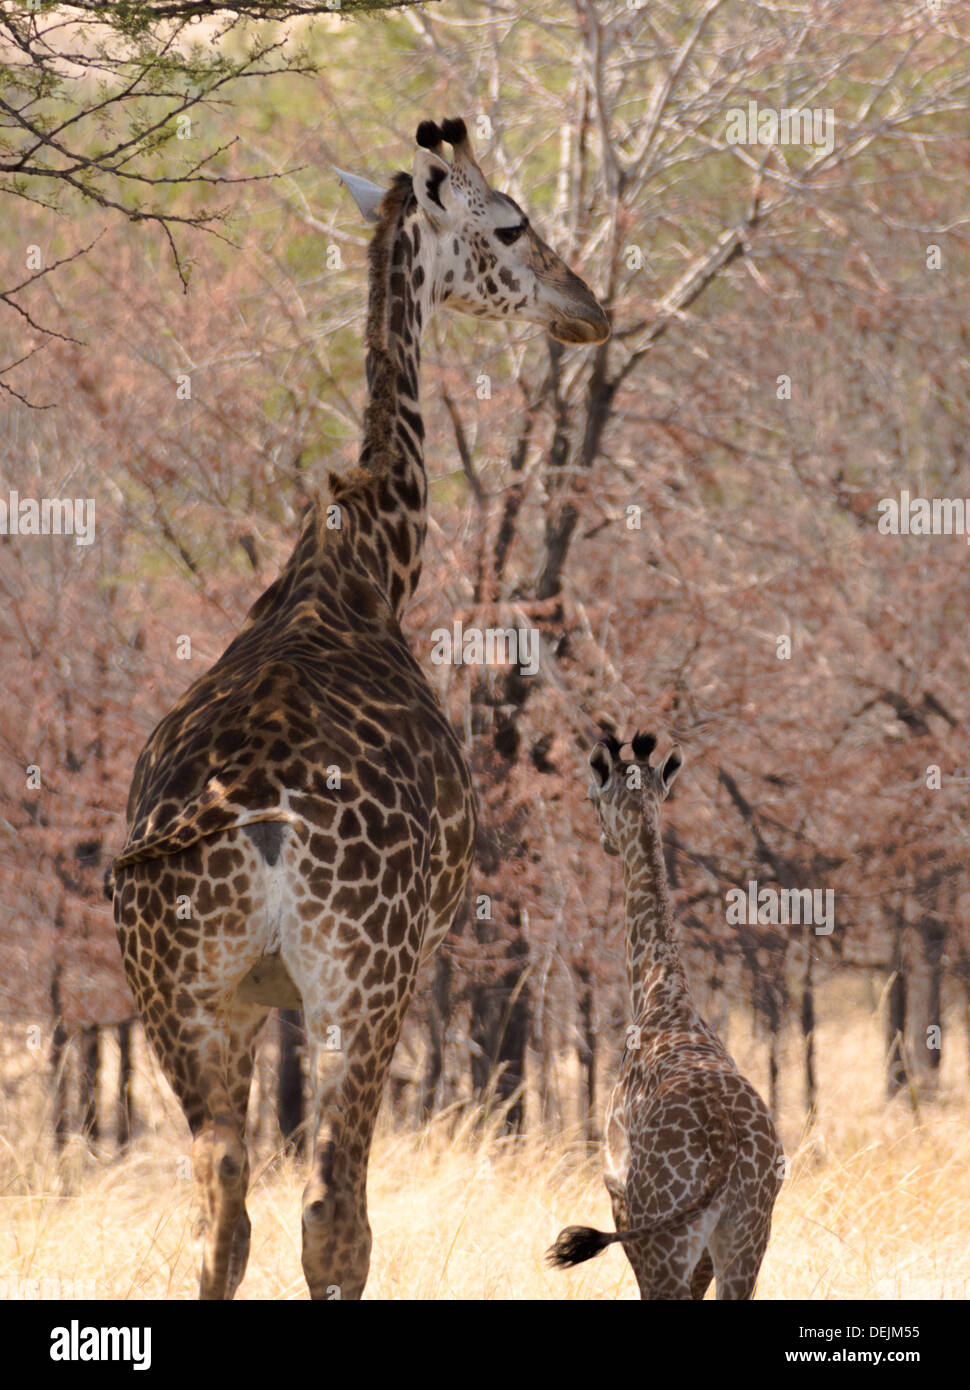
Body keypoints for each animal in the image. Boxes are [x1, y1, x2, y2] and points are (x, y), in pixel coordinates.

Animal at [108, 117, 609, 1301]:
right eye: (507, 224)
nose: (587, 305)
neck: (367, 560)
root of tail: (244, 819)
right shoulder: (409, 961)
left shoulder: (248, 1004)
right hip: (358, 988)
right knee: (333, 1212)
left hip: (182, 1004)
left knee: (218, 1214)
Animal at [548, 734, 783, 1300]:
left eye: (590, 796)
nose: (605, 842)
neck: (662, 997)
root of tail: (727, 1152)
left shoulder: (616, 1191)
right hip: (747, 1236)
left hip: (665, 1238)